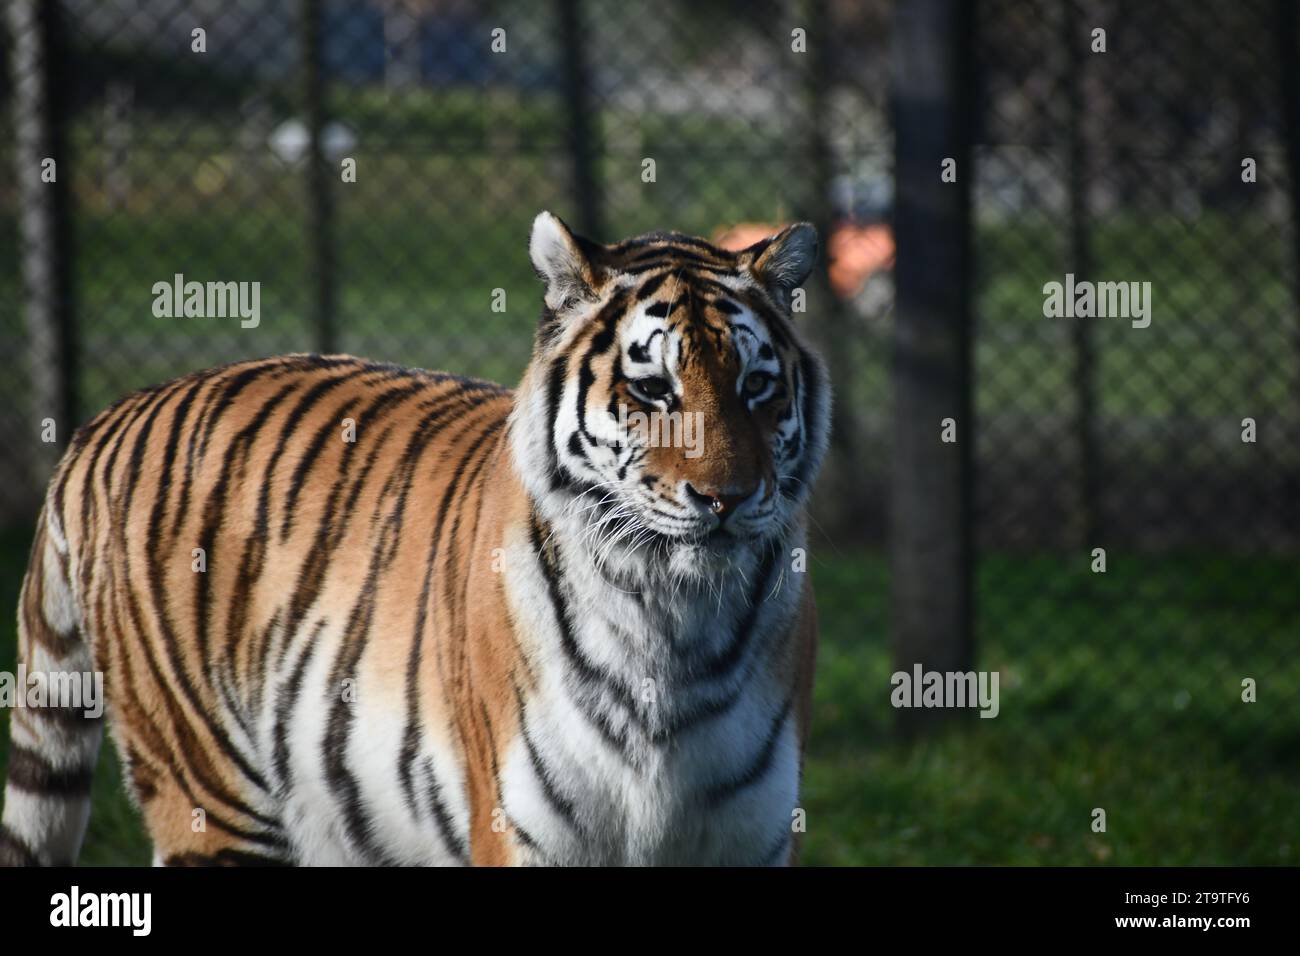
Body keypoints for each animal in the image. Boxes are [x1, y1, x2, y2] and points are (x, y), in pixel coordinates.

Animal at [0, 212, 831, 866]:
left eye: (758, 385)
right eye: (653, 389)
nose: (728, 498)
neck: (674, 619)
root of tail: (104, 420)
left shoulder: (752, 837)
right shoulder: (526, 834)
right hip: (210, 793)